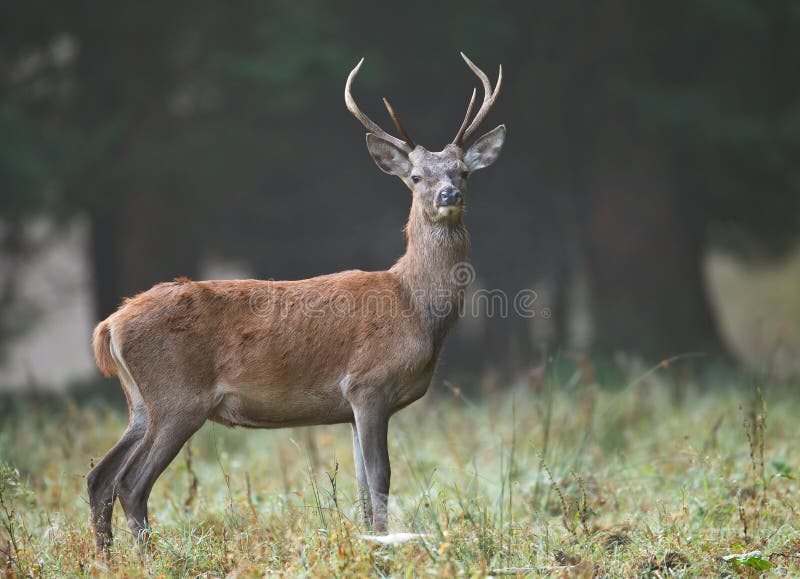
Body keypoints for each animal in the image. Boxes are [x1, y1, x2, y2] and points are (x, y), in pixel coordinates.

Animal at [87, 53, 505, 550]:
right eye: (417, 176)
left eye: (464, 171)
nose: (449, 194)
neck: (414, 307)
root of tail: (109, 325)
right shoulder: (369, 384)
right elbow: (381, 478)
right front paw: (384, 546)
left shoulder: (349, 407)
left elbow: (362, 487)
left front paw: (369, 542)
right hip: (176, 399)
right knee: (131, 483)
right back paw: (149, 557)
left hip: (139, 402)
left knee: (98, 477)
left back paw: (104, 557)